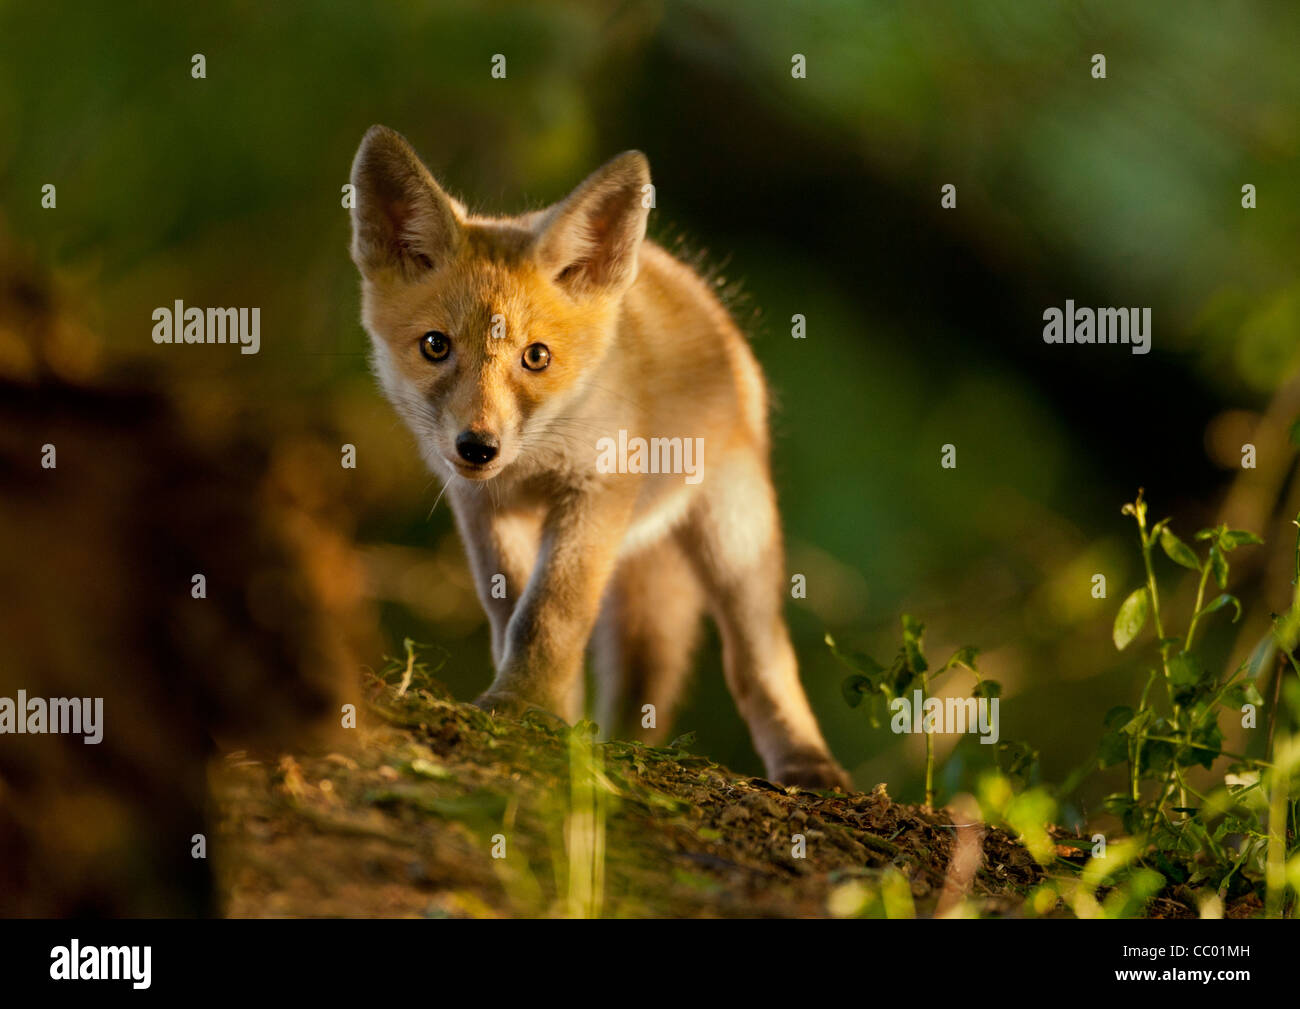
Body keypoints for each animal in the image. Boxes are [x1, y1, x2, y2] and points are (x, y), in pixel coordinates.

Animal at [348, 125, 849, 789]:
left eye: (536, 357)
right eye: (435, 346)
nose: (478, 446)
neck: (534, 462)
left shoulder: (596, 491)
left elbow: (550, 614)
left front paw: (522, 705)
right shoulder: (485, 508)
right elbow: (512, 614)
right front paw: (549, 717)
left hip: (735, 539)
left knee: (760, 662)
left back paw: (806, 762)